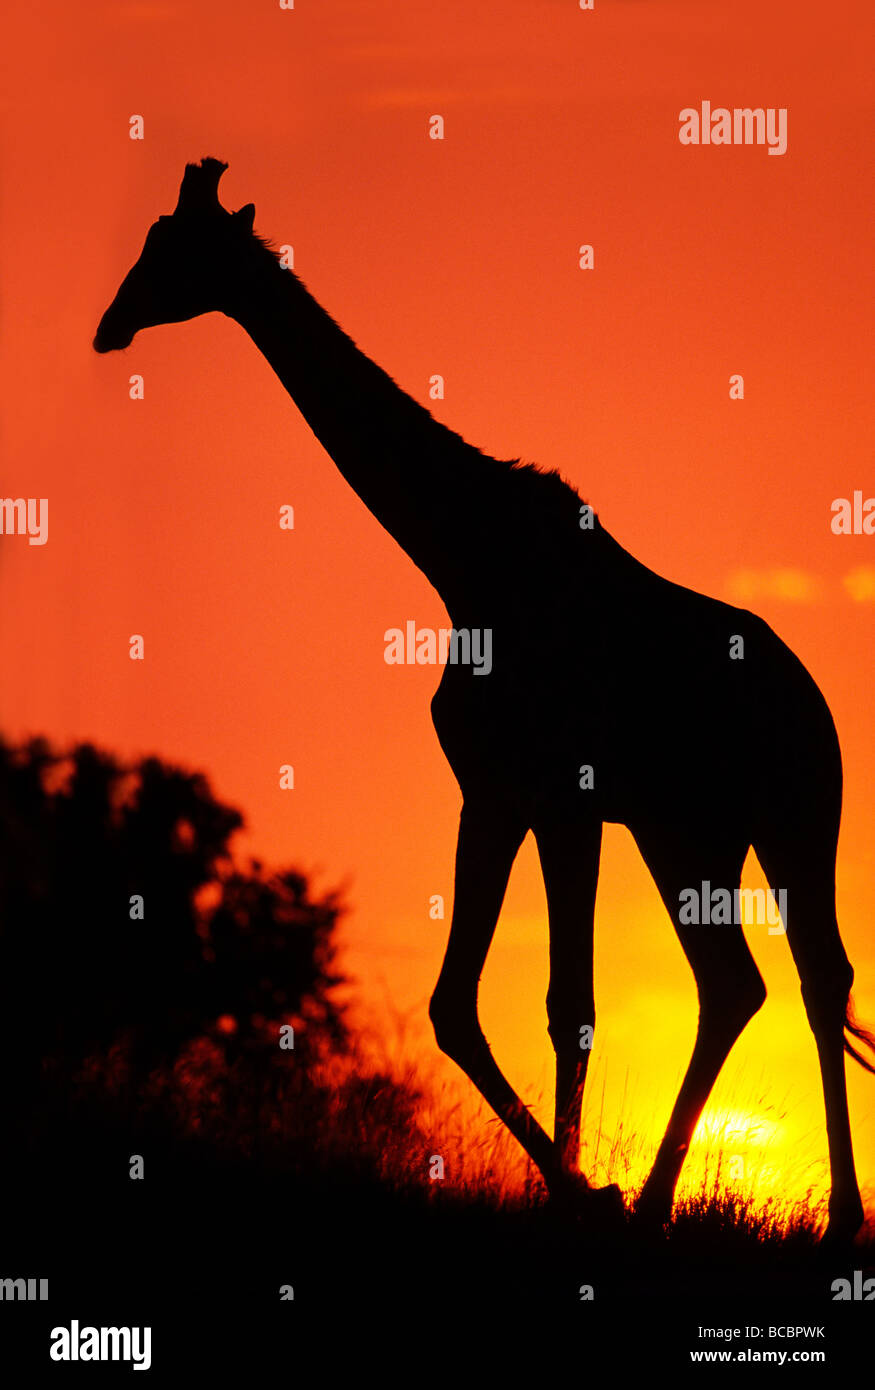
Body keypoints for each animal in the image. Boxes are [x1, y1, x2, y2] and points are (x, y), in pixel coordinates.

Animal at [95, 158, 874, 1241]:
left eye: (175, 245)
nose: (109, 324)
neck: (462, 562)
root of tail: (814, 701)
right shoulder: (494, 792)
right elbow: (459, 1004)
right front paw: (586, 1190)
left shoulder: (561, 797)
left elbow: (564, 1000)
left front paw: (585, 1190)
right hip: (689, 833)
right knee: (738, 982)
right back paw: (670, 1202)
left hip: (796, 816)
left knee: (809, 973)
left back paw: (824, 1215)